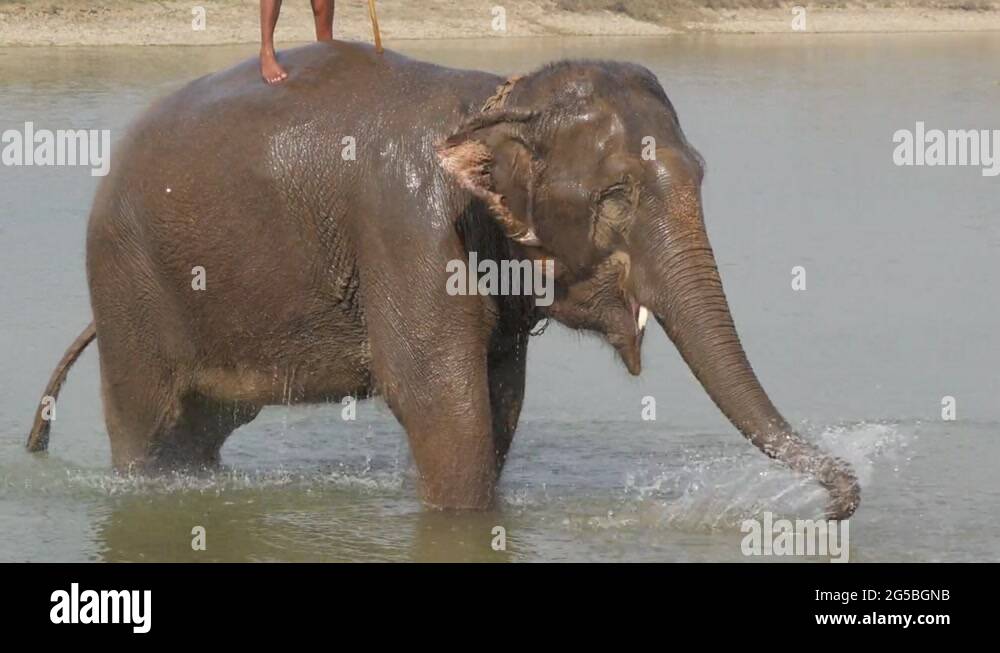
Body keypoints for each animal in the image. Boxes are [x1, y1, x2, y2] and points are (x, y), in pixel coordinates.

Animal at [26, 41, 860, 519]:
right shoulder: (410, 228)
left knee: (202, 429)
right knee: (148, 428)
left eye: (702, 175)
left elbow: (500, 397)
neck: (498, 99)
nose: (842, 504)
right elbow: (441, 398)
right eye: (616, 196)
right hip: (127, 278)